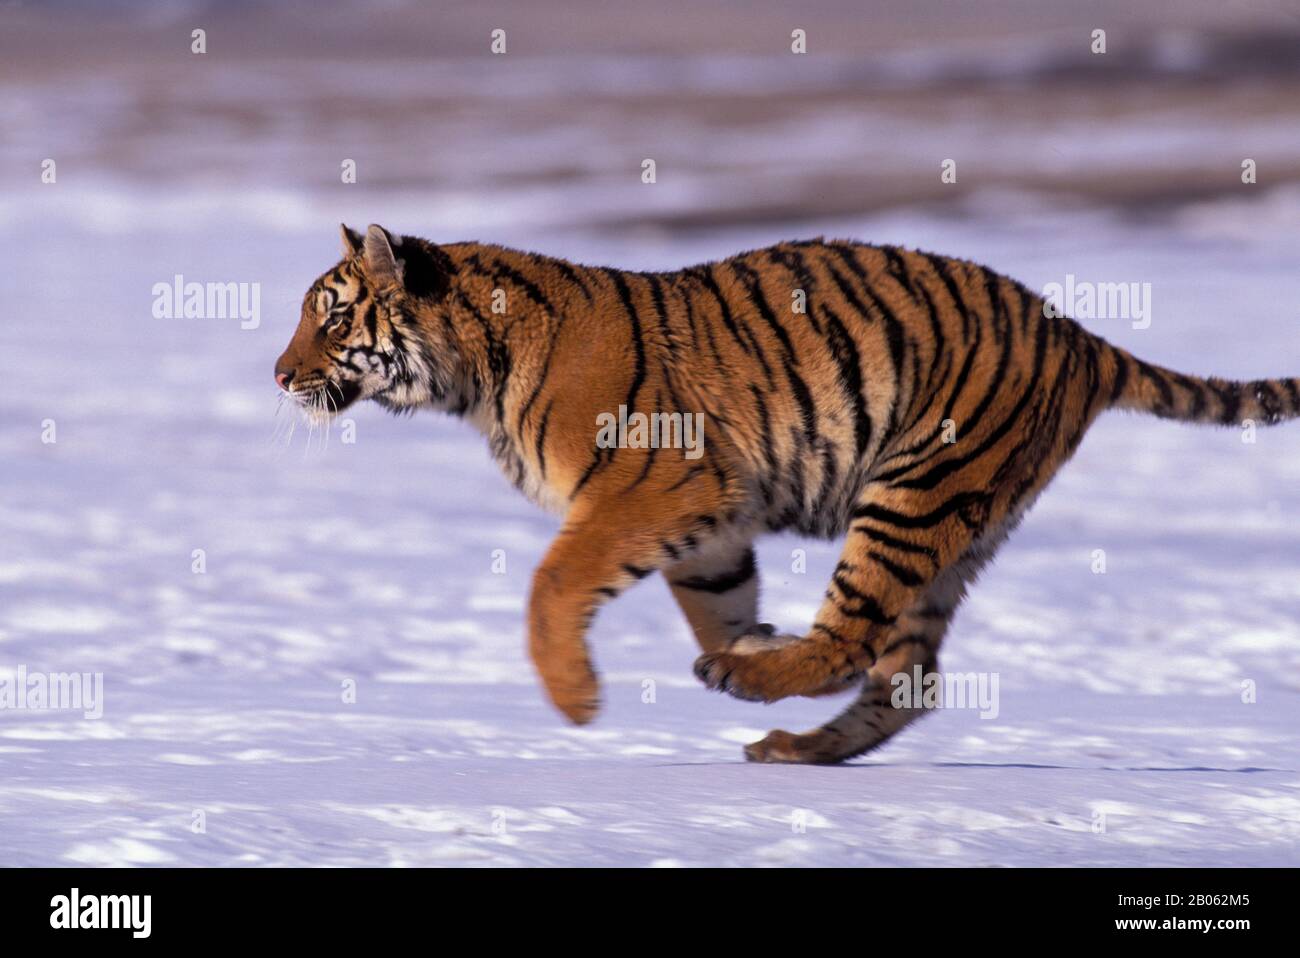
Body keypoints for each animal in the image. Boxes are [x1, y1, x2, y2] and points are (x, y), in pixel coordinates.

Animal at [274, 223, 1300, 764]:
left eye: (332, 316)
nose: (279, 376)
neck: (469, 373)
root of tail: (1079, 332)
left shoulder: (653, 479)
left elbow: (553, 584)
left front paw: (578, 704)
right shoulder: (708, 518)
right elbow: (717, 602)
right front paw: (743, 642)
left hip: (915, 490)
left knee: (855, 638)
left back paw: (759, 688)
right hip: (956, 526)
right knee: (906, 672)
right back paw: (790, 738)